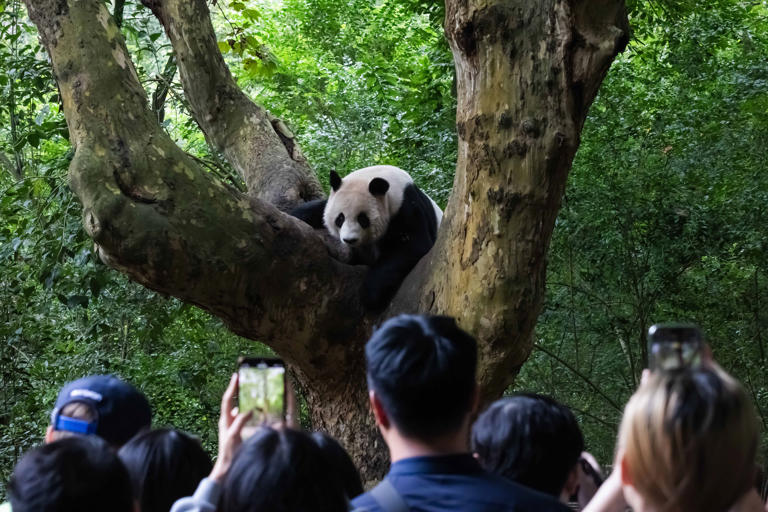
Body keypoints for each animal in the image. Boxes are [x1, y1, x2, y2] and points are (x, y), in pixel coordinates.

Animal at [291, 165, 442, 311]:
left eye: (362, 219)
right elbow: (314, 210)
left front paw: (370, 295)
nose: (349, 240)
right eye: (340, 218)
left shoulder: (407, 206)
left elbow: (413, 245)